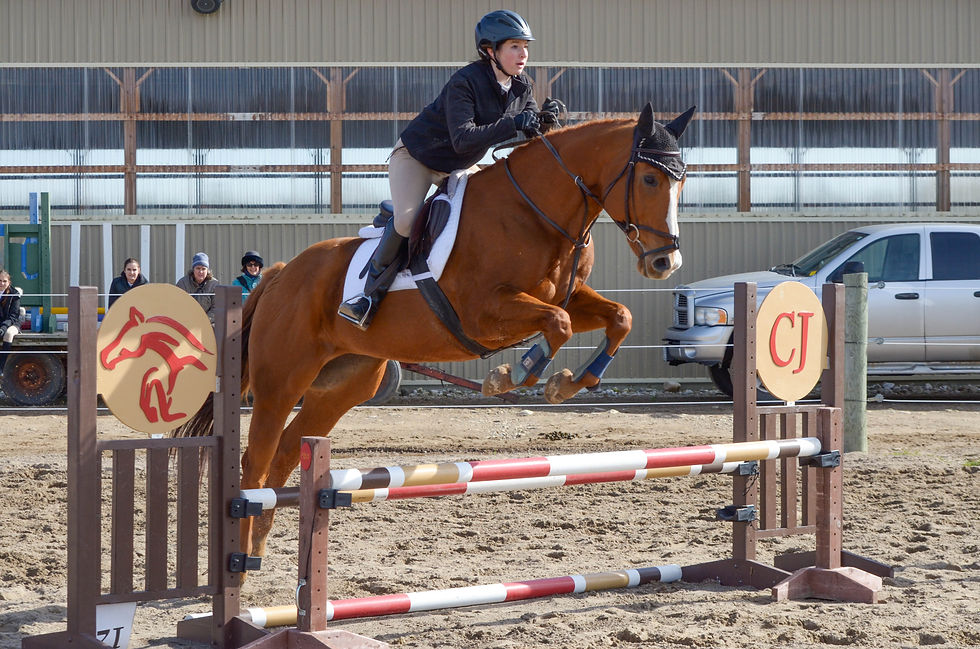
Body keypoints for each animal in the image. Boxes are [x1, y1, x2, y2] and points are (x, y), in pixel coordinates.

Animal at [177, 102, 695, 558]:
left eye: (683, 179)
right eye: (649, 178)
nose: (665, 262)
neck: (537, 211)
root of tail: (281, 273)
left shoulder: (565, 296)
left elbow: (618, 317)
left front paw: (571, 382)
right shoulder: (485, 311)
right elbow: (559, 324)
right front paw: (514, 375)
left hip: (344, 383)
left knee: (288, 451)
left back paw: (260, 544)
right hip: (281, 380)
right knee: (257, 458)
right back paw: (242, 557)